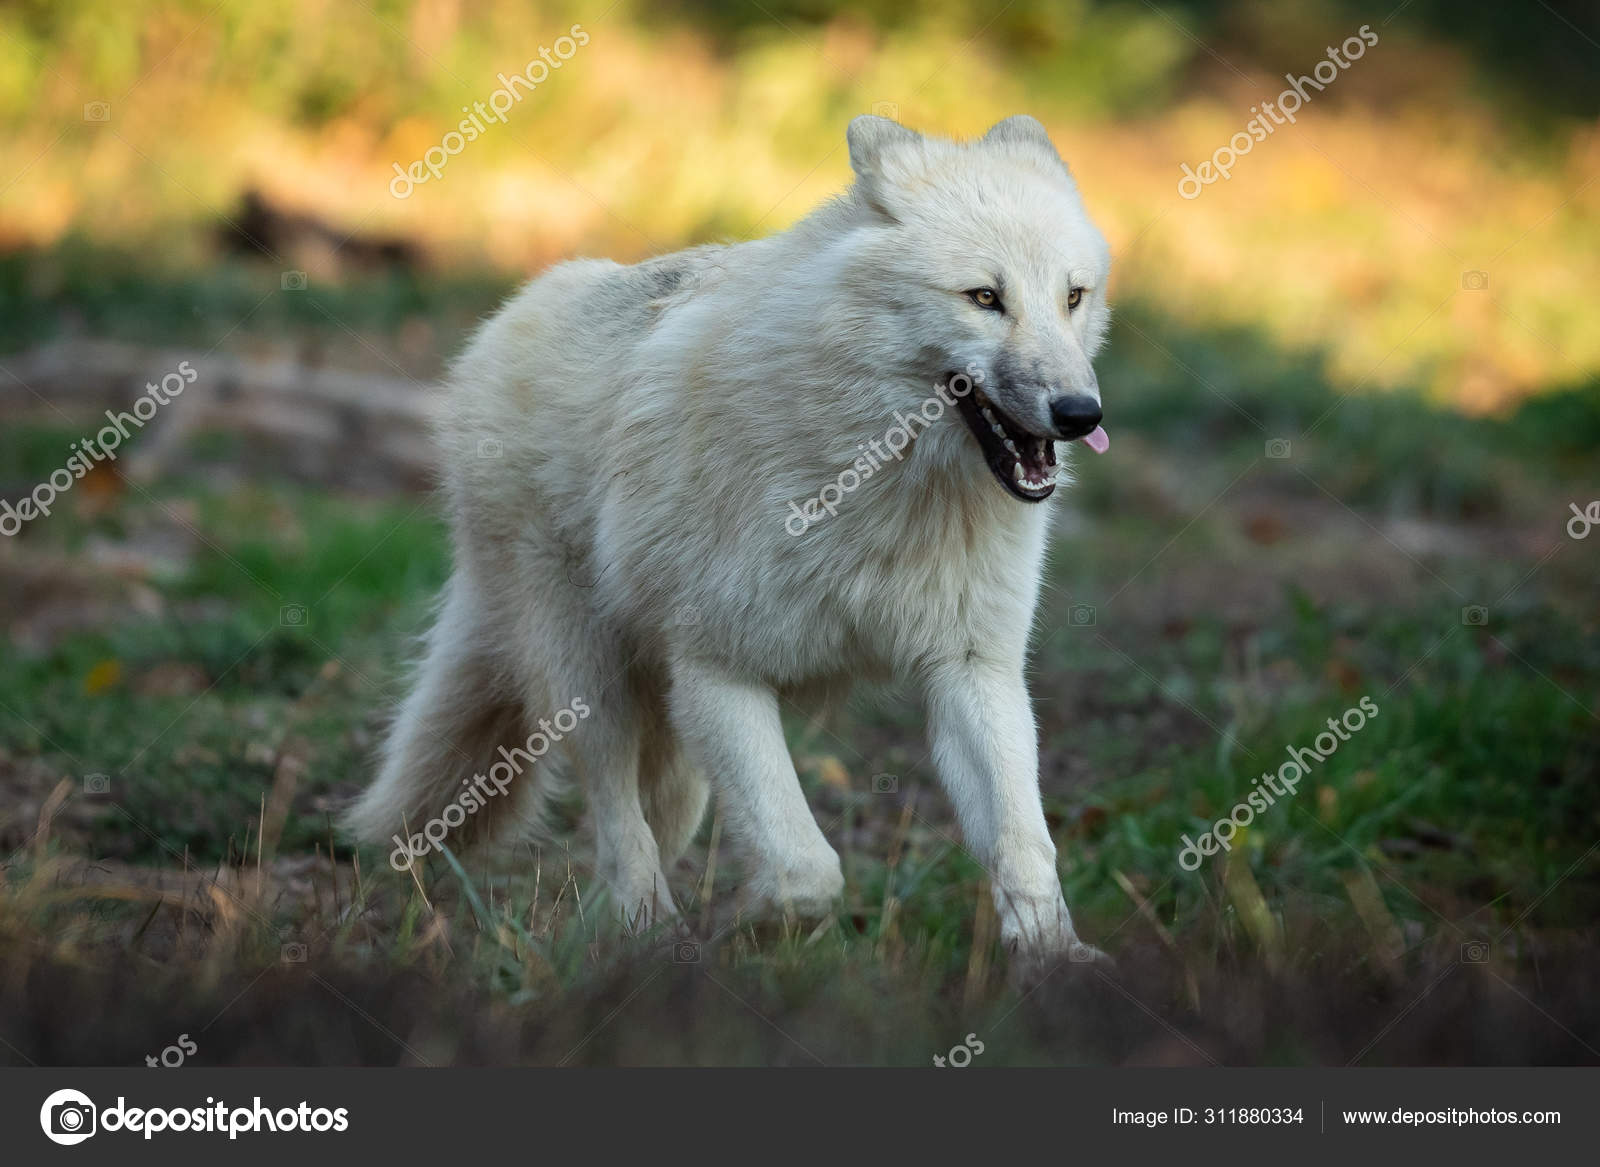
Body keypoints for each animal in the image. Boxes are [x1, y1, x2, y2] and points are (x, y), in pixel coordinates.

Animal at [345, 115, 1112, 971]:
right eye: (985, 297)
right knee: (619, 820)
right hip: (591, 681)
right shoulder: (719, 671)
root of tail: (506, 318)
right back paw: (649, 930)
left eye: (1072, 296)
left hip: (670, 733)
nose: (1080, 412)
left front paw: (1054, 957)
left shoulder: (973, 668)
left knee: (651, 823)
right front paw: (761, 930)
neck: (873, 480)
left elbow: (1023, 844)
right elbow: (807, 869)